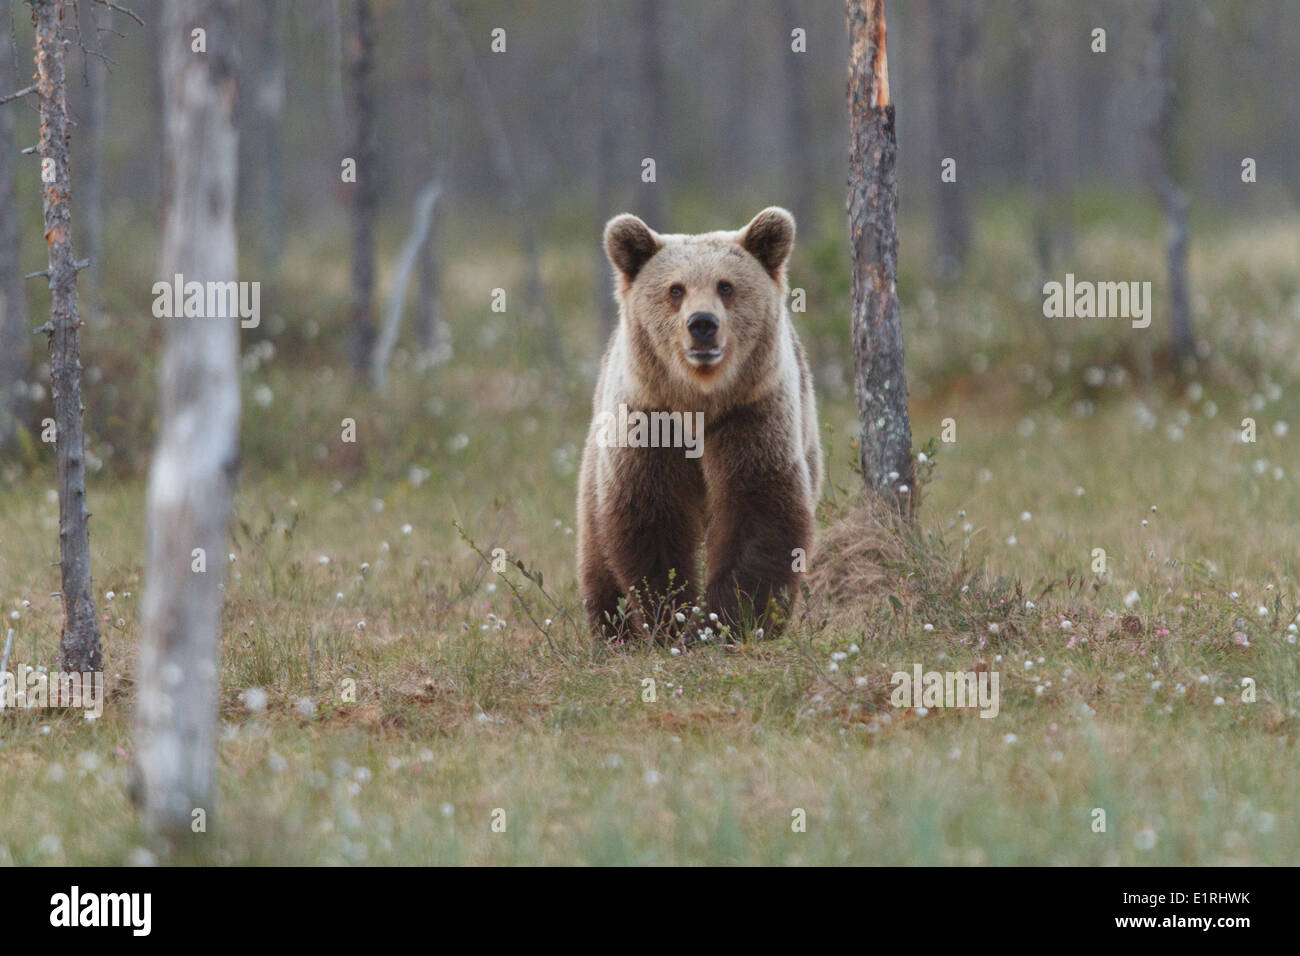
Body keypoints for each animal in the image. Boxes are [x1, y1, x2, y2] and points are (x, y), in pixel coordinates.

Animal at [577, 207, 822, 640]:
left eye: (726, 286)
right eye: (676, 290)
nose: (702, 324)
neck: (699, 402)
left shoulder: (752, 413)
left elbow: (758, 510)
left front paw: (729, 619)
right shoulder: (649, 418)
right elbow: (651, 513)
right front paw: (672, 618)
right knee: (596, 554)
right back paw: (612, 631)